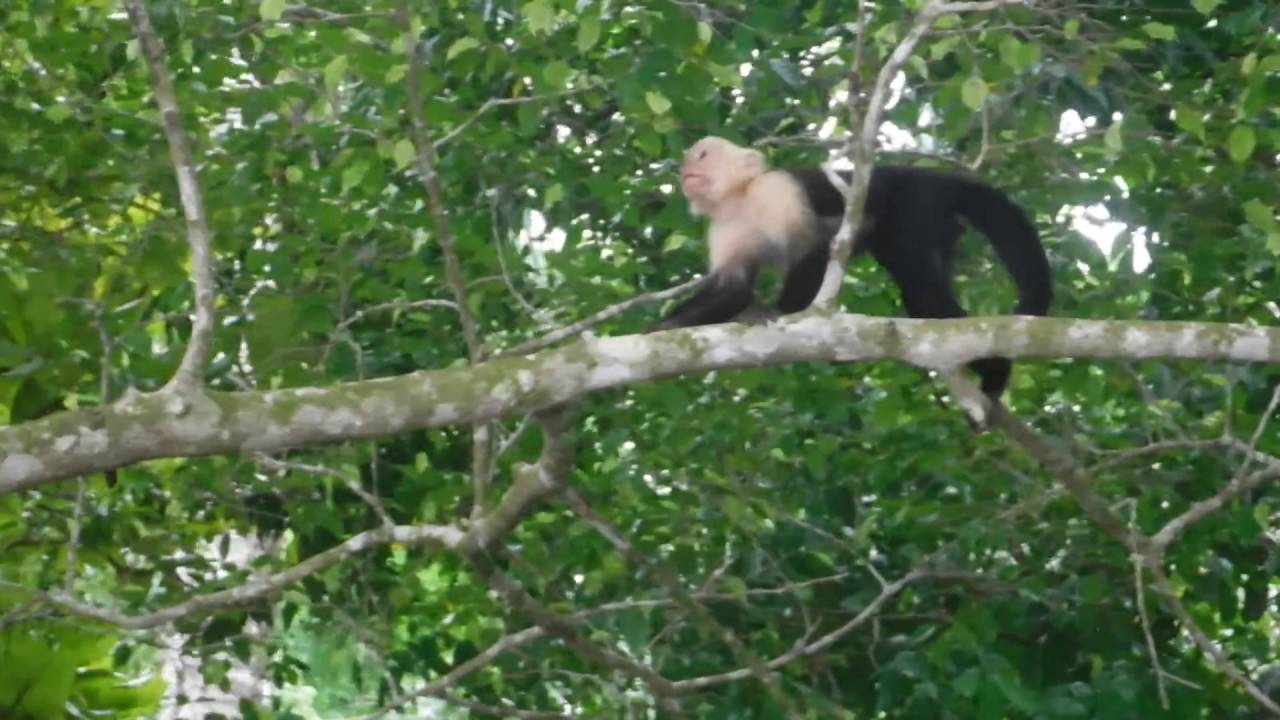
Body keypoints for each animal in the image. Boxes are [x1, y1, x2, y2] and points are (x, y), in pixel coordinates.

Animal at [651, 135, 1052, 401]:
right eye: (691, 159)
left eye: (703, 155)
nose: (686, 169)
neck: (741, 198)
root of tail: (926, 176)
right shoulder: (722, 228)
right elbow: (733, 287)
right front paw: (663, 329)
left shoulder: (777, 191)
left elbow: (818, 243)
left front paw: (783, 309)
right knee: (924, 298)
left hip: (916, 204)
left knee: (922, 288)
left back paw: (995, 368)